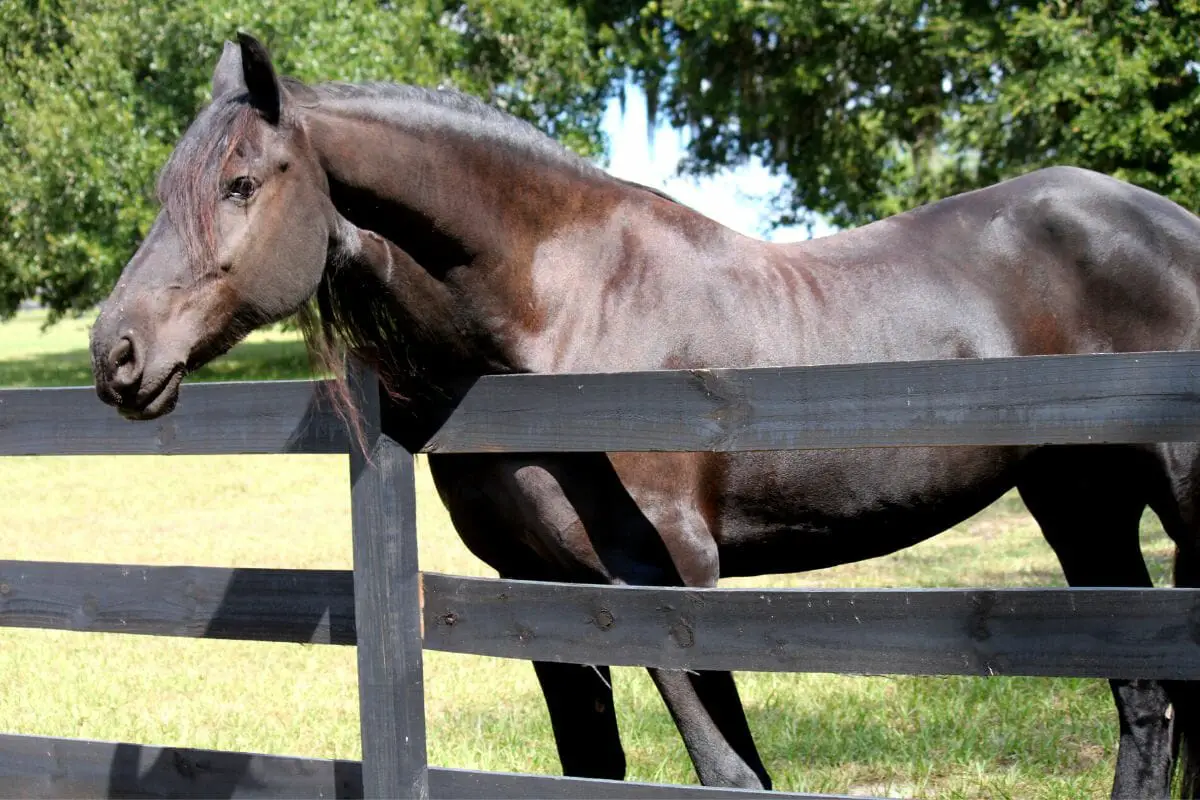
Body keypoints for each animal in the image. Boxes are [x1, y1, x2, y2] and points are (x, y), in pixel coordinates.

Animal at [89, 33, 1200, 798]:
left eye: (241, 183)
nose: (116, 352)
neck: (557, 317)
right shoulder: (533, 587)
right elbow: (597, 765)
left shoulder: (672, 574)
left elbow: (732, 770)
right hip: (1081, 504)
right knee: (1146, 702)